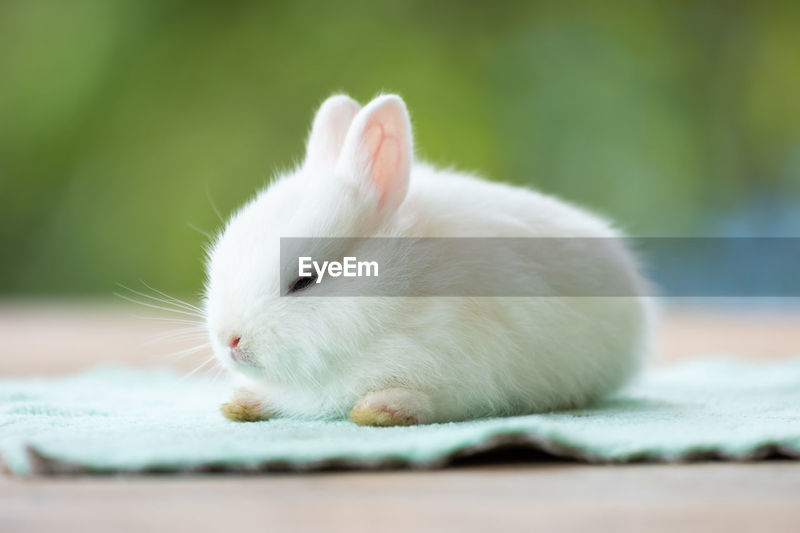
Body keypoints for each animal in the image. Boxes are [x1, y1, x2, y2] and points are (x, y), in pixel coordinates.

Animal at [205, 93, 653, 426]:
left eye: (305, 280)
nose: (230, 340)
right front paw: (243, 402)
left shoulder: (464, 372)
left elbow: (429, 399)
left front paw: (381, 409)